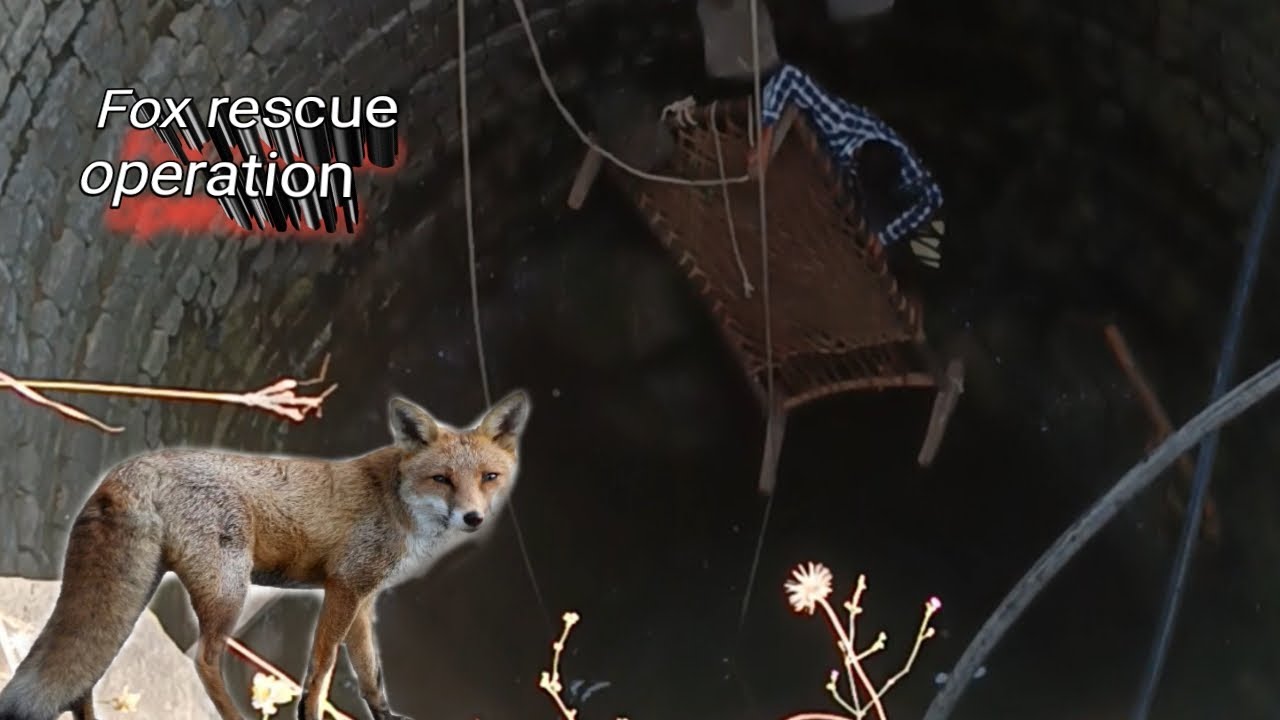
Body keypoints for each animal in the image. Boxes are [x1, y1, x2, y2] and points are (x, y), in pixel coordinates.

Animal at [0, 390, 532, 720]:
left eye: (489, 477)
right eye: (441, 479)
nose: (473, 518)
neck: (398, 506)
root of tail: (134, 466)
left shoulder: (364, 599)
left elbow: (370, 673)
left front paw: (386, 715)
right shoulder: (344, 587)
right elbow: (320, 672)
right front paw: (311, 715)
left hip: (172, 594)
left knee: (90, 673)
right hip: (229, 590)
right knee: (202, 659)